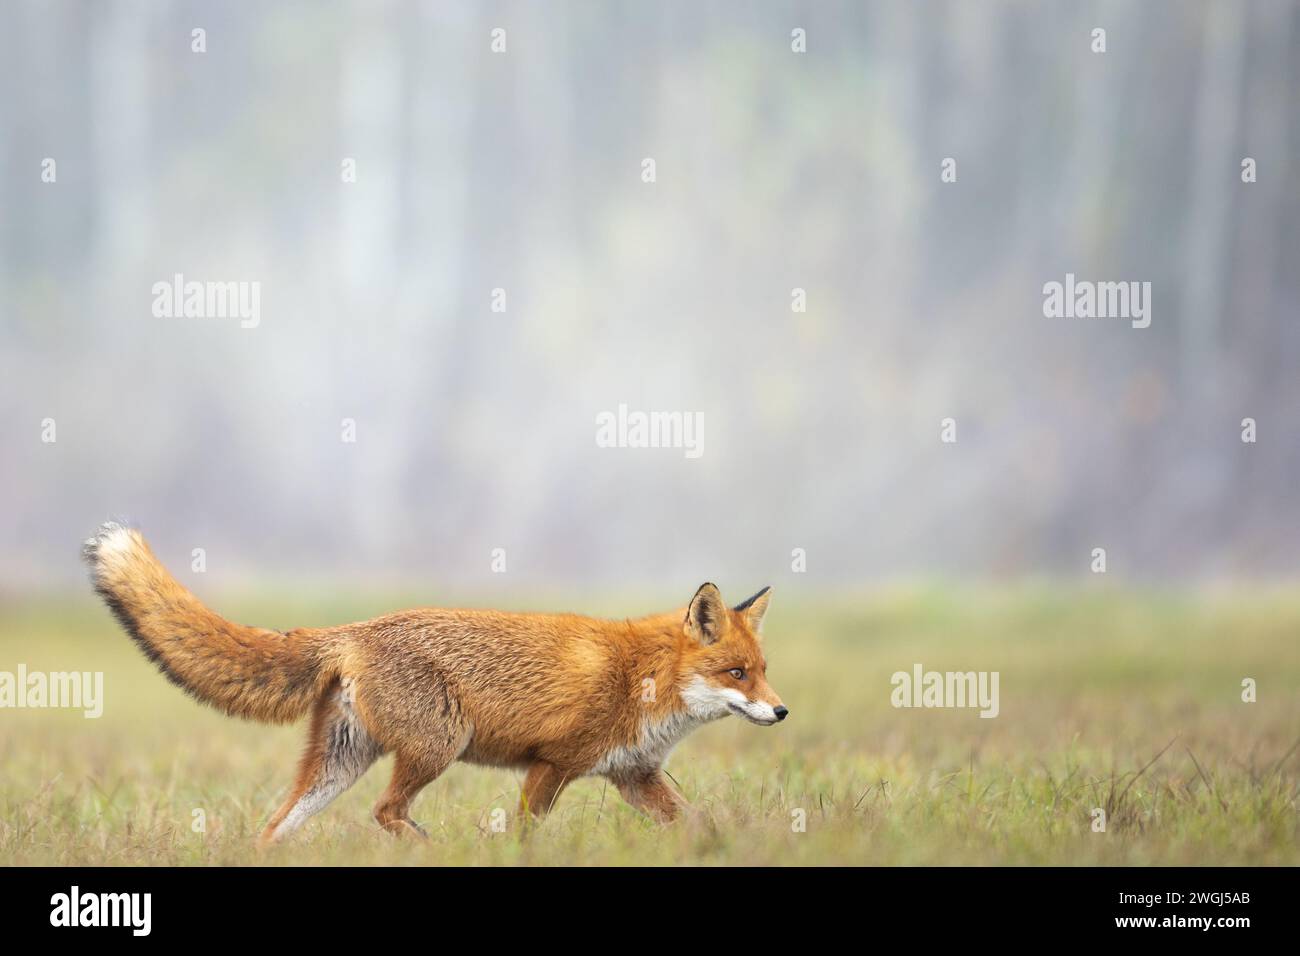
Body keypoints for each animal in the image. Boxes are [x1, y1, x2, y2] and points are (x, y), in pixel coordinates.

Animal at [82, 521, 787, 842]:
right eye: (736, 673)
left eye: (763, 672)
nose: (782, 713)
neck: (642, 682)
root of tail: (357, 627)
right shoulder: (553, 765)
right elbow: (527, 835)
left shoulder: (634, 777)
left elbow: (700, 825)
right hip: (436, 747)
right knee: (385, 812)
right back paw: (430, 846)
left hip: (339, 764)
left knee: (274, 828)